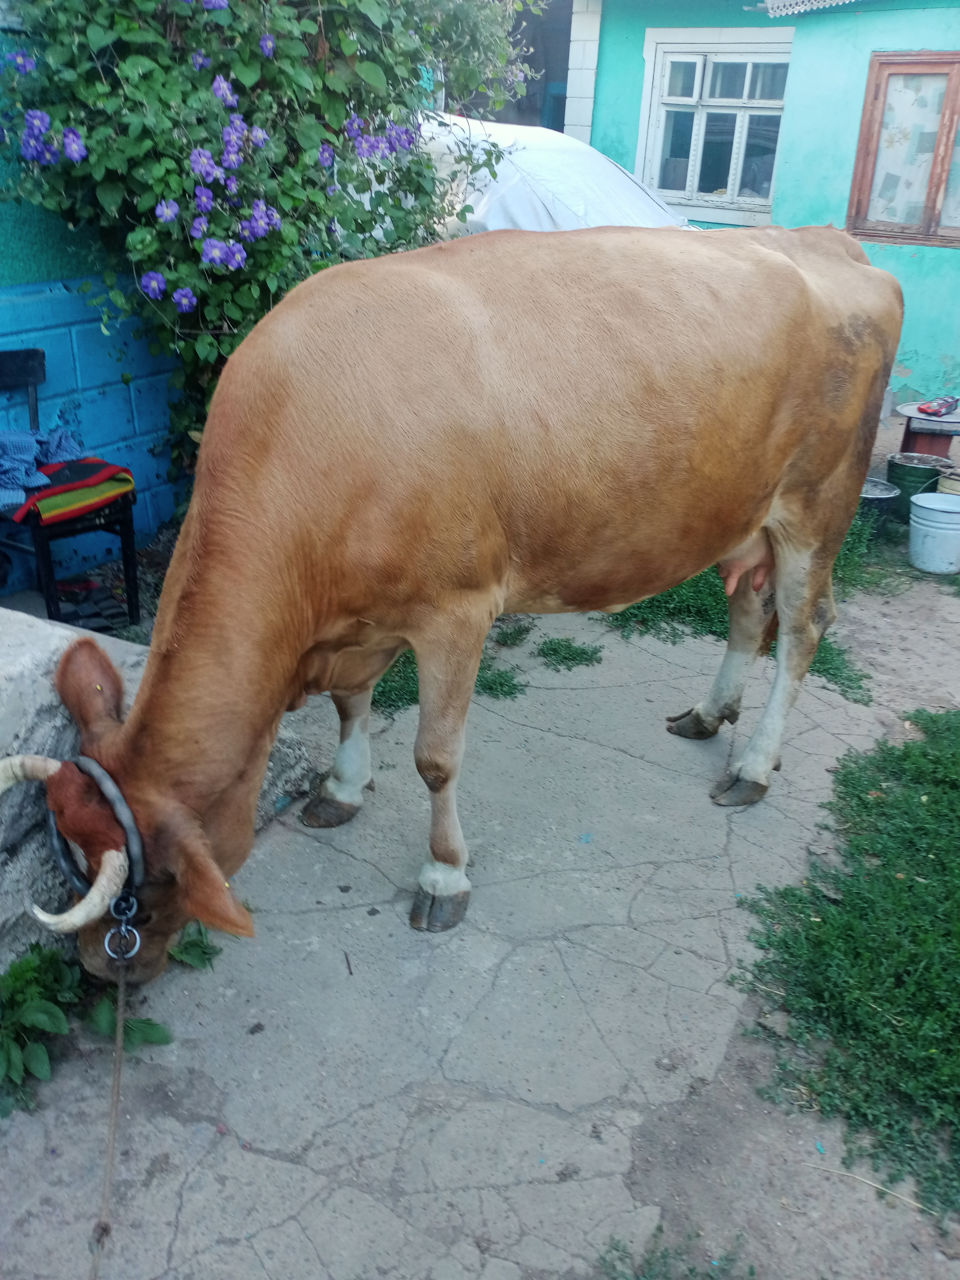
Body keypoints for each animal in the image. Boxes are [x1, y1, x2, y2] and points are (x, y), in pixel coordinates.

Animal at [0, 225, 902, 986]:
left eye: (138, 895)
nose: (99, 971)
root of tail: (829, 240)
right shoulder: (358, 627)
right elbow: (352, 705)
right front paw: (342, 788)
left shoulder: (457, 612)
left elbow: (435, 759)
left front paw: (443, 875)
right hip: (739, 518)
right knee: (750, 615)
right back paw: (711, 716)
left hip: (818, 508)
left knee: (803, 632)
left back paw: (753, 767)